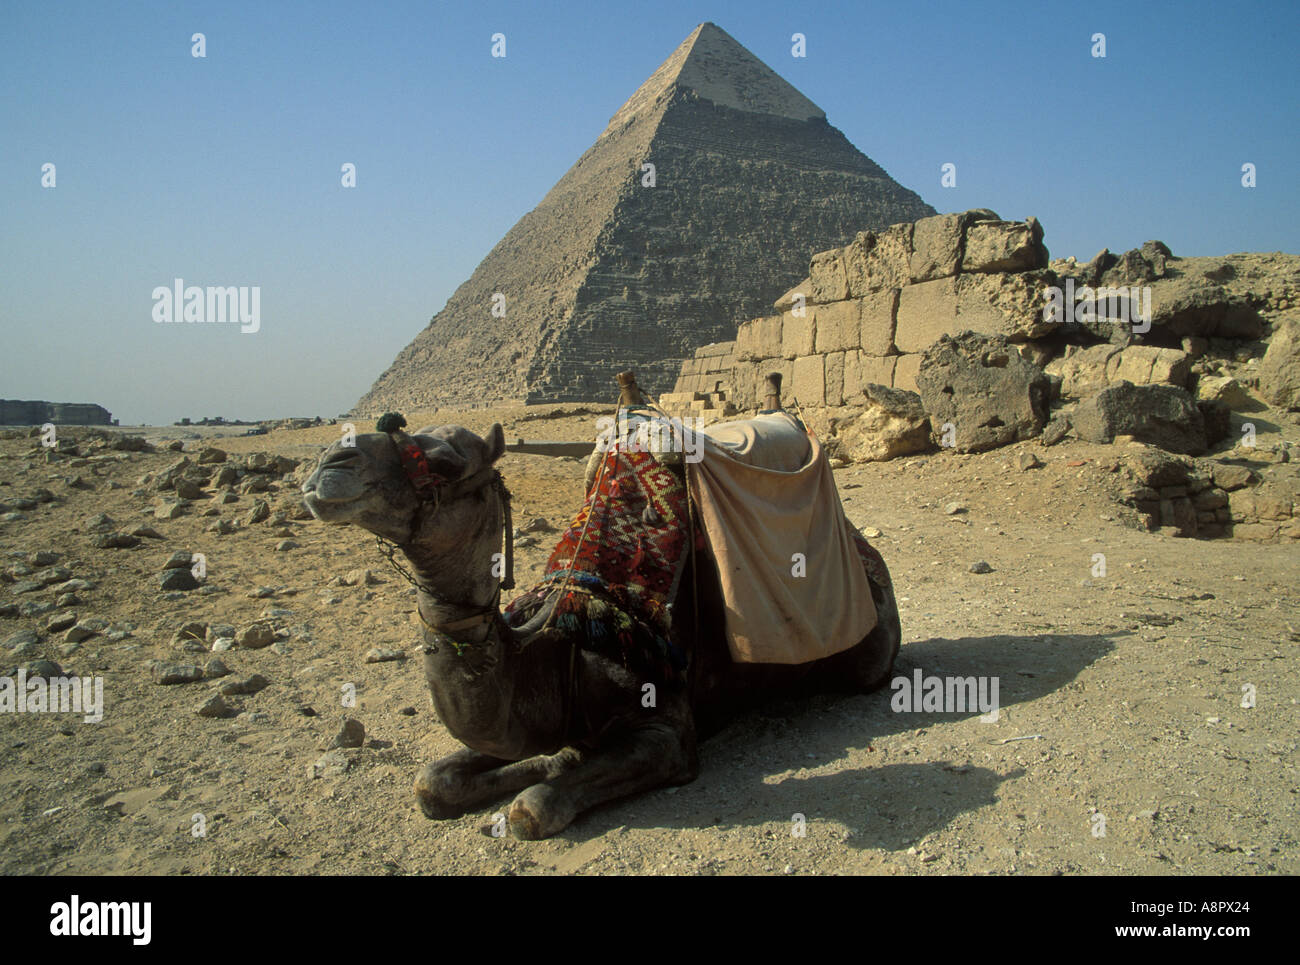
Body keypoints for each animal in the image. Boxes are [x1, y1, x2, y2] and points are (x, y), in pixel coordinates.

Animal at [301, 386, 900, 839]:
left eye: (447, 461)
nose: (331, 462)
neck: (558, 647)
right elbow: (432, 782)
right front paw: (551, 758)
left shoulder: (668, 735)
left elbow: (534, 806)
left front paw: (550, 773)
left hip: (868, 653)